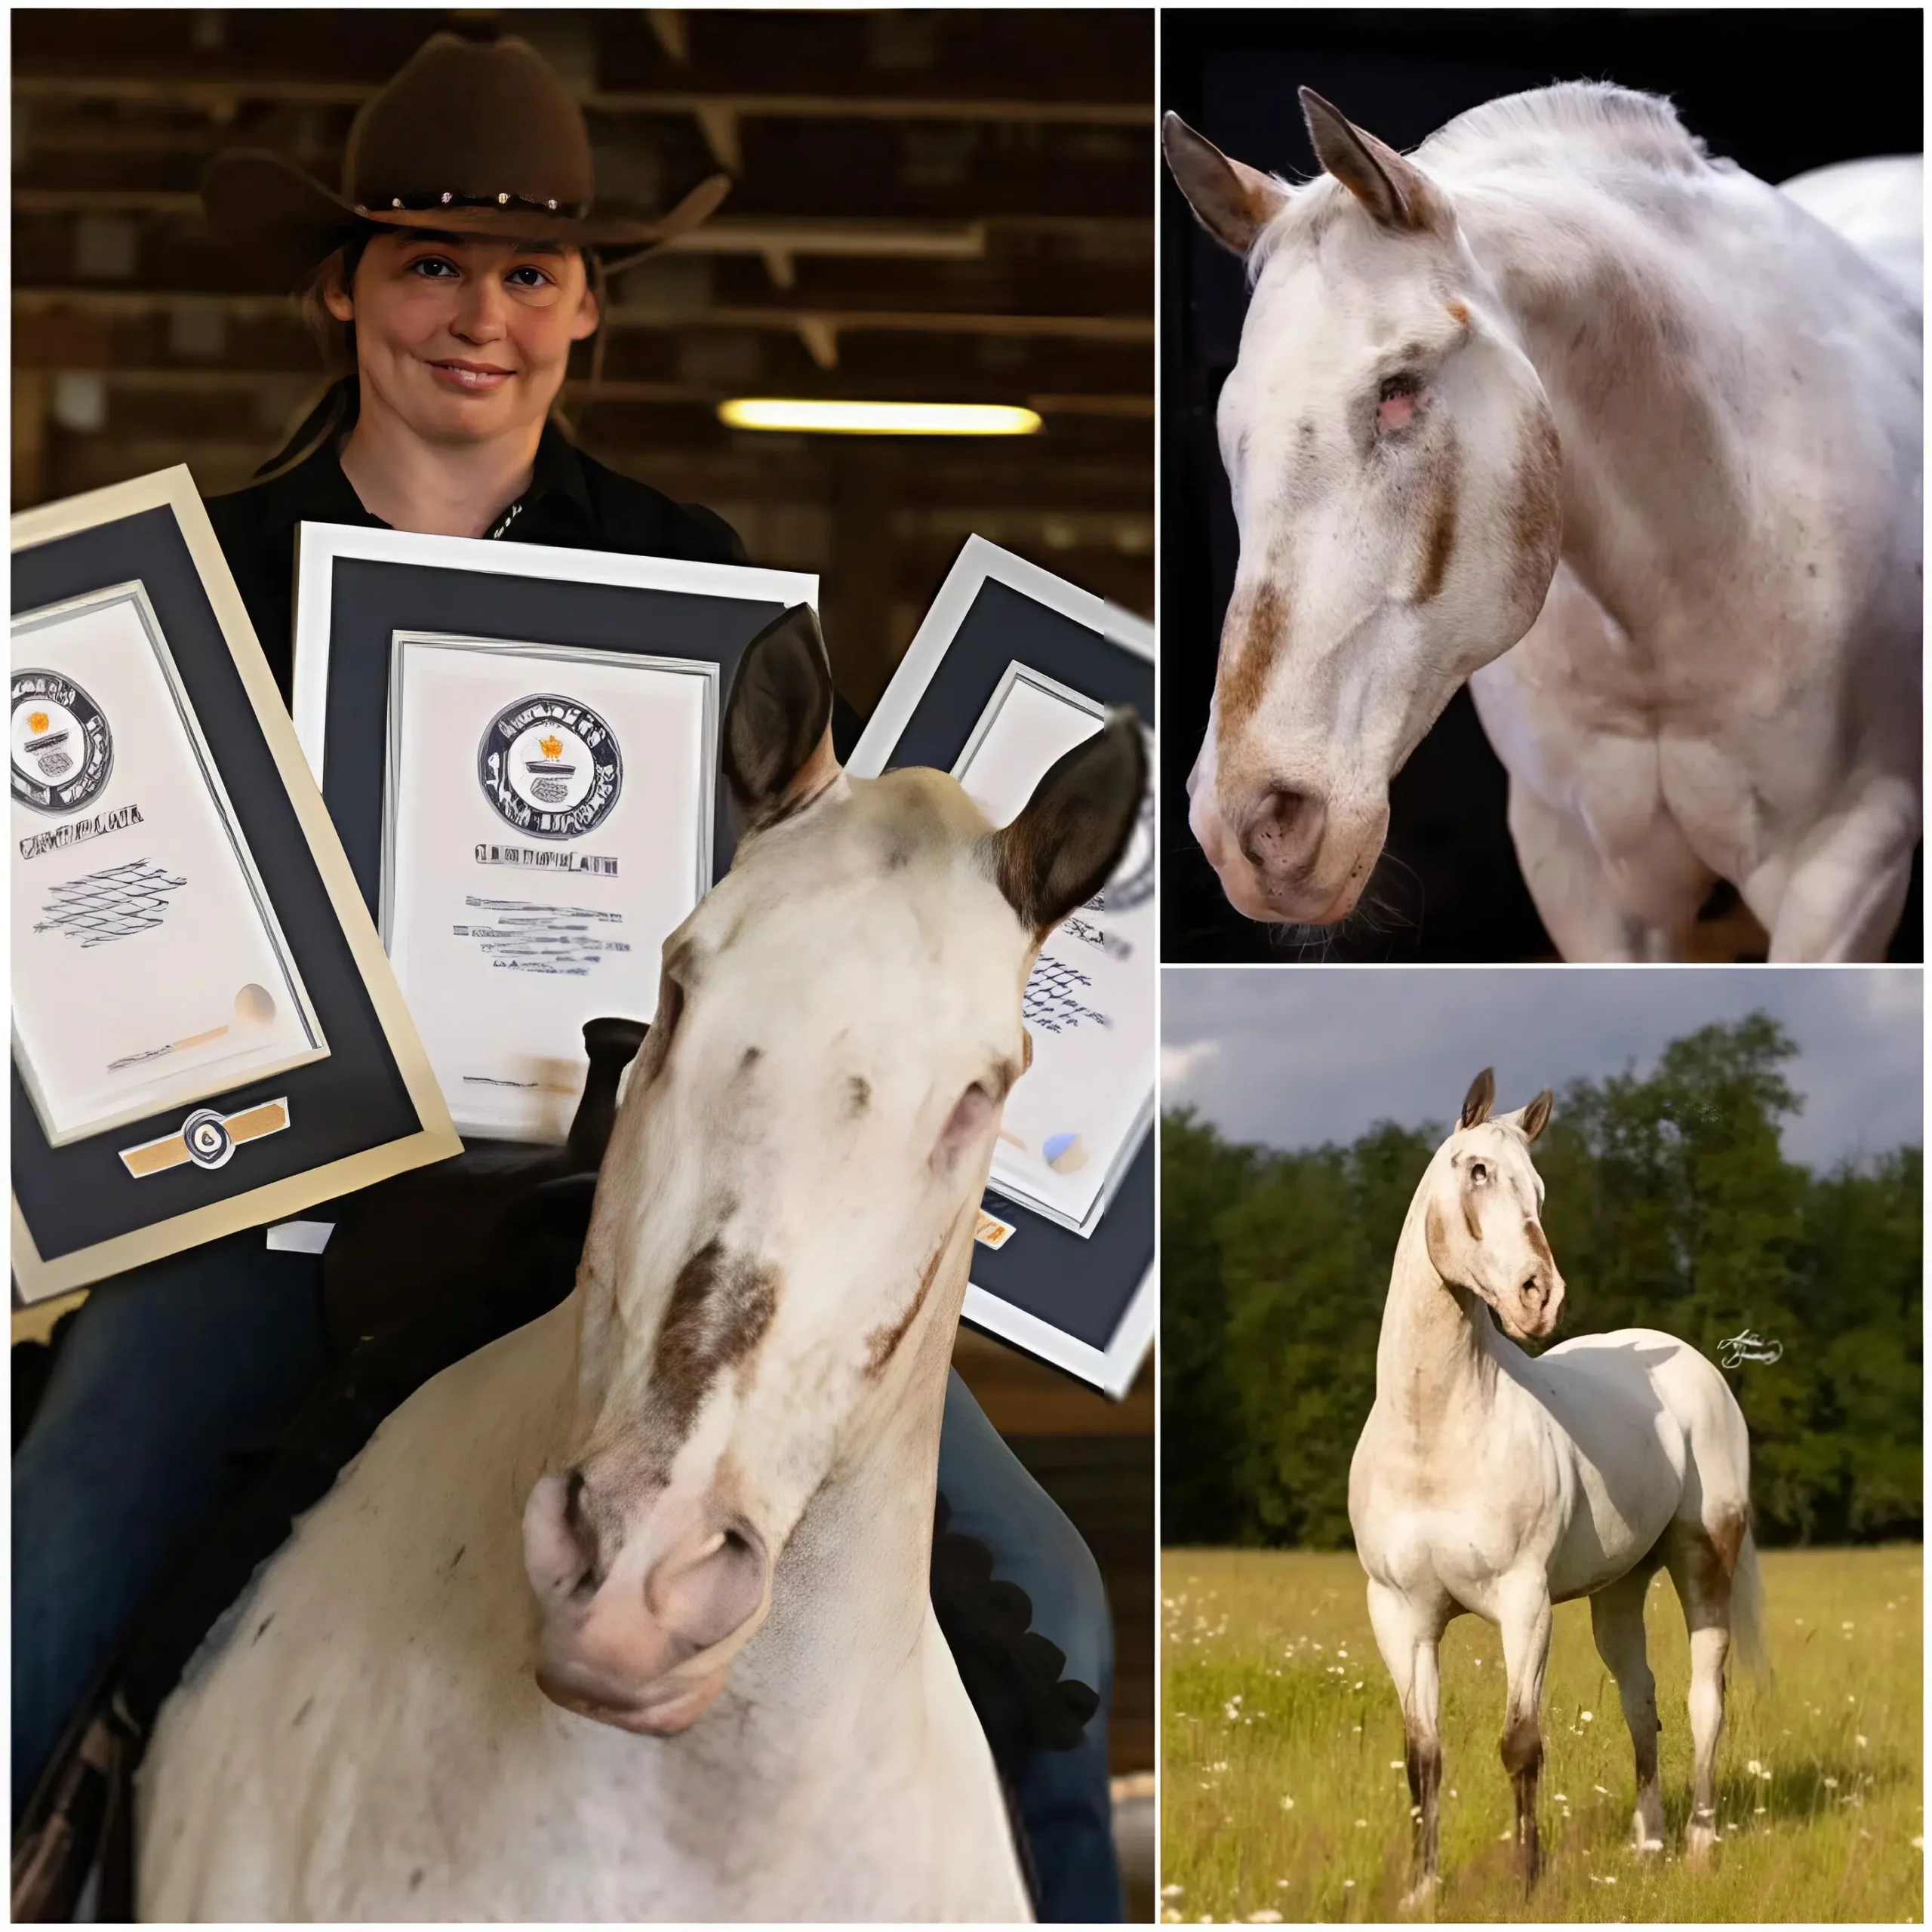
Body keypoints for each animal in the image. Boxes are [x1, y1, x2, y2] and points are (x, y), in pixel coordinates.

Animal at [1347, 1069, 1764, 1896]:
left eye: (1537, 1188)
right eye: (1476, 1170)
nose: (1539, 1295)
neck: (1434, 1435)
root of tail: (1695, 1364)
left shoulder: (1524, 1603)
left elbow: (1521, 1742)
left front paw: (1525, 1881)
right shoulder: (1401, 1614)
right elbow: (1422, 1753)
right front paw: (1422, 1889)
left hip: (1702, 1561)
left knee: (1705, 1701)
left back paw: (1699, 1845)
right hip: (1620, 1588)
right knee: (1642, 1700)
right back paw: (1647, 1844)